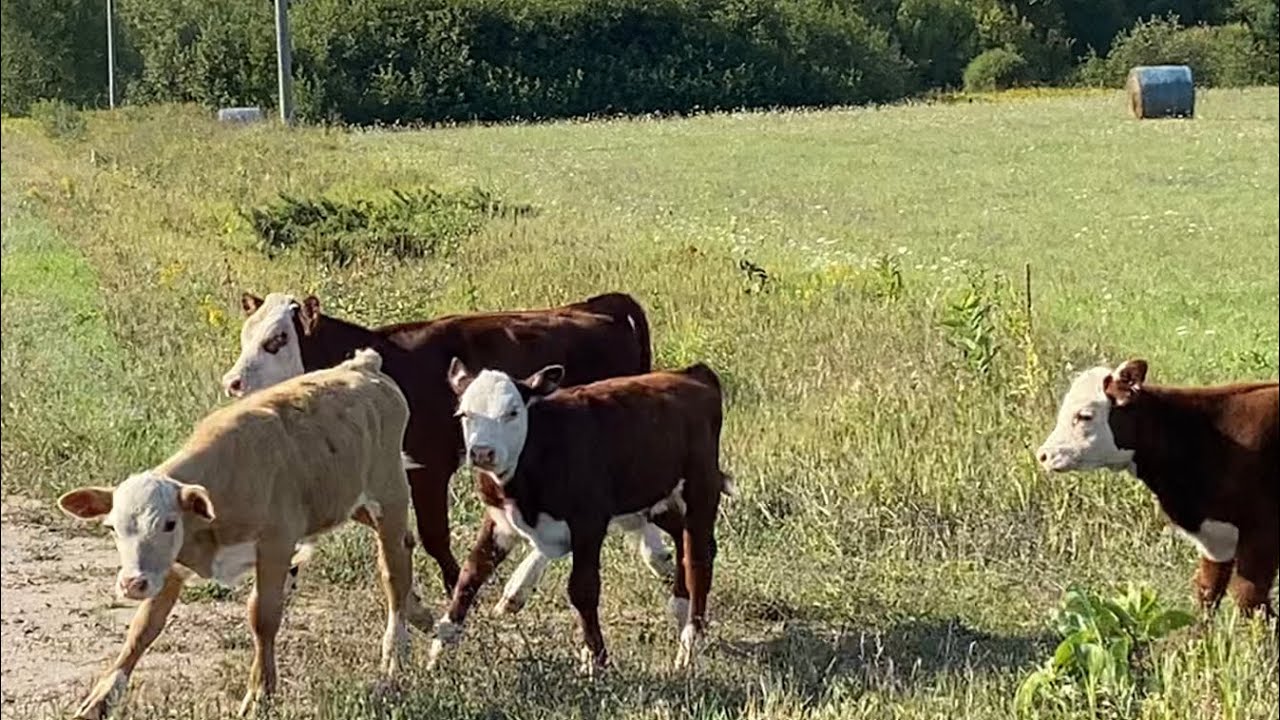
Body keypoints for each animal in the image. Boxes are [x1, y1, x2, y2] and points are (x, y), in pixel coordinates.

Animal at [57, 350, 432, 719]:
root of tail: (362, 365)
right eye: (112, 528)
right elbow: (142, 629)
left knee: (393, 571)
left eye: (169, 524)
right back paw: (421, 615)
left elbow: (262, 617)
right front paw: (99, 700)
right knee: (406, 547)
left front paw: (259, 694)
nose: (132, 584)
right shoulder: (169, 568)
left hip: (389, 492)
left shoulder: (276, 546)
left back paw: (394, 656)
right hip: (350, 501)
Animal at [221, 291, 674, 612]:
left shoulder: (428, 468)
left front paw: (456, 586)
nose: (232, 383)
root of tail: (601, 304)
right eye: (246, 335)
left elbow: (434, 535)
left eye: (278, 340)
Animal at [428, 358, 732, 675]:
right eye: (464, 413)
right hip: (654, 498)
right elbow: (471, 573)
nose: (482, 452)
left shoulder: (588, 523)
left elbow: (583, 589)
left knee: (698, 560)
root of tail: (692, 373)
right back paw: (680, 608)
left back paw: (689, 644)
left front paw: (597, 658)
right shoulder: (499, 521)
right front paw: (439, 649)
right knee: (682, 539)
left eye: (512, 412)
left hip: (700, 489)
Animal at [1037, 358, 1278, 616]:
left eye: (1084, 416)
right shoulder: (1216, 538)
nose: (1043, 455)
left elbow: (1249, 598)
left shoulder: (1262, 533)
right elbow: (1208, 590)